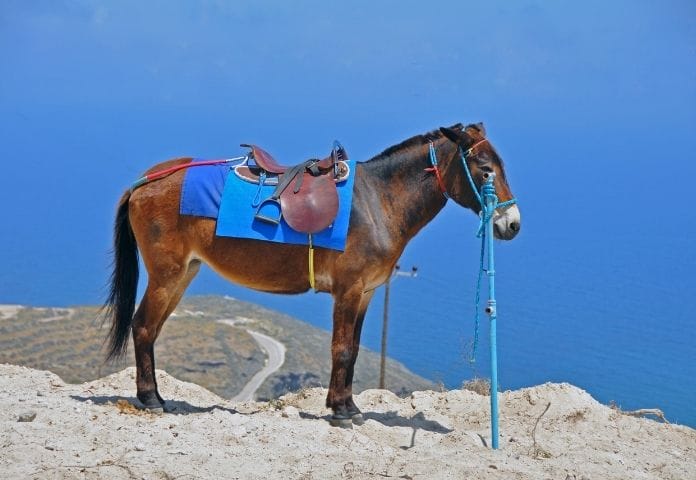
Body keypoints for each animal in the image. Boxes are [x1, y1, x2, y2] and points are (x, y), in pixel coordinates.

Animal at [103, 122, 521, 427]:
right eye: (485, 171)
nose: (513, 224)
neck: (379, 202)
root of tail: (146, 180)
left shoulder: (366, 293)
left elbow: (353, 350)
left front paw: (347, 405)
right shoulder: (349, 290)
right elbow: (342, 348)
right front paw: (339, 411)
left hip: (184, 273)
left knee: (151, 328)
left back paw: (156, 396)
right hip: (167, 274)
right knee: (143, 326)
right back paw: (150, 399)